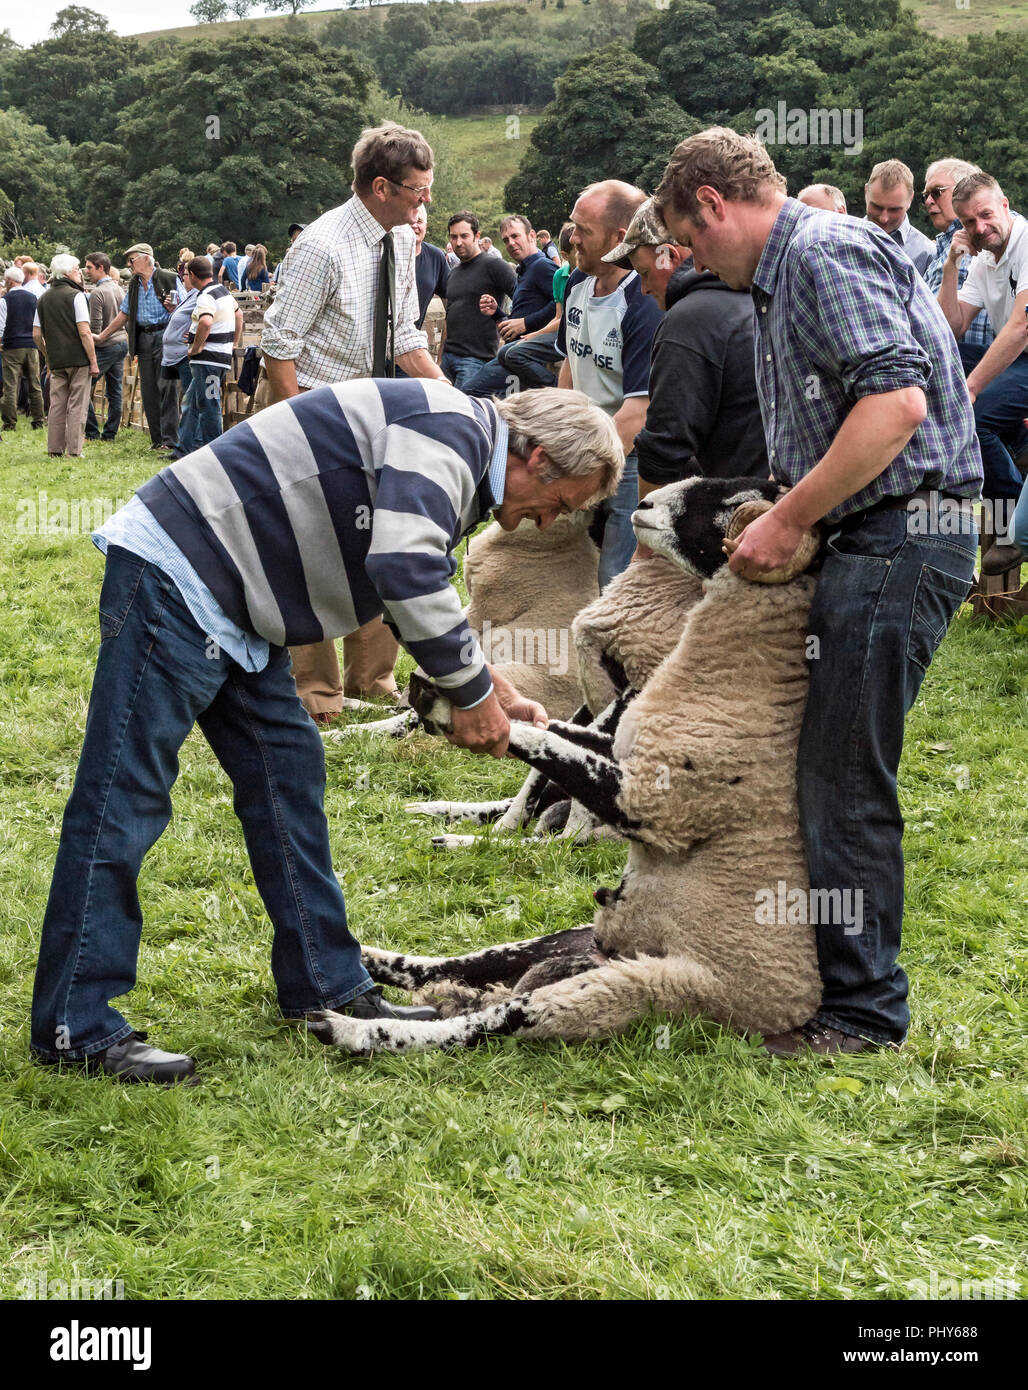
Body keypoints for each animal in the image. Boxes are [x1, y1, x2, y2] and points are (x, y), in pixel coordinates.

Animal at [306, 476, 824, 1055]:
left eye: (734, 504)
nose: (644, 504)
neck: (751, 681)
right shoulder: (614, 736)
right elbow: (554, 741)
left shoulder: (652, 801)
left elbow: (544, 744)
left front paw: (452, 713)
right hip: (573, 937)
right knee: (460, 965)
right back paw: (375, 951)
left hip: (627, 990)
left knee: (487, 1019)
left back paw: (356, 1027)